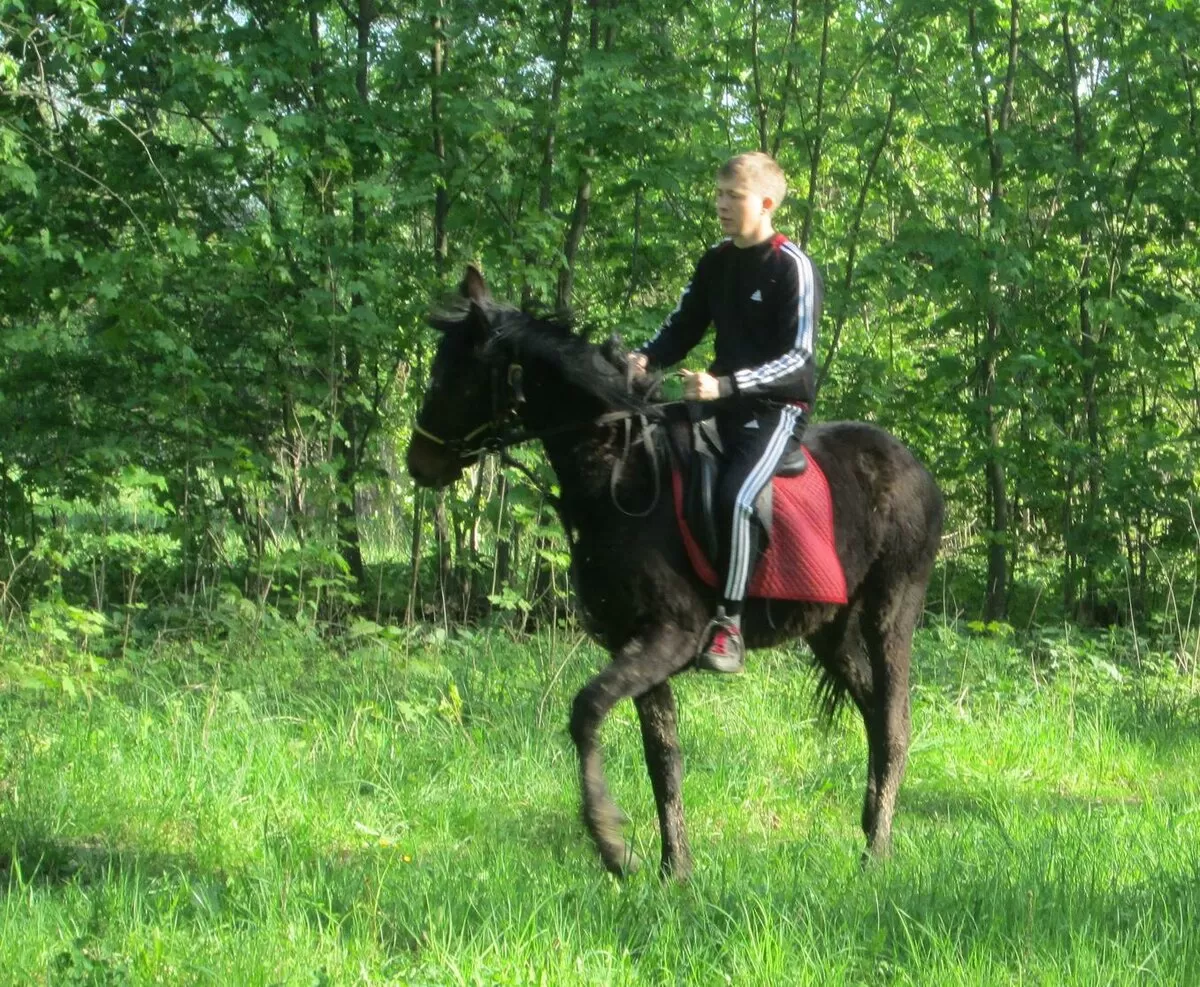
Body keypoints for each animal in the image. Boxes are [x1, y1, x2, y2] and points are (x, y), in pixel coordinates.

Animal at [408, 268, 940, 878]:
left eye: (453, 377)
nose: (418, 464)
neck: (624, 476)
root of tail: (916, 468)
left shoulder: (671, 635)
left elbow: (587, 711)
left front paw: (612, 845)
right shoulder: (634, 643)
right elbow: (663, 757)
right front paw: (675, 870)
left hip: (891, 612)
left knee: (894, 724)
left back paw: (876, 854)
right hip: (831, 631)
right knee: (875, 717)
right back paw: (870, 831)